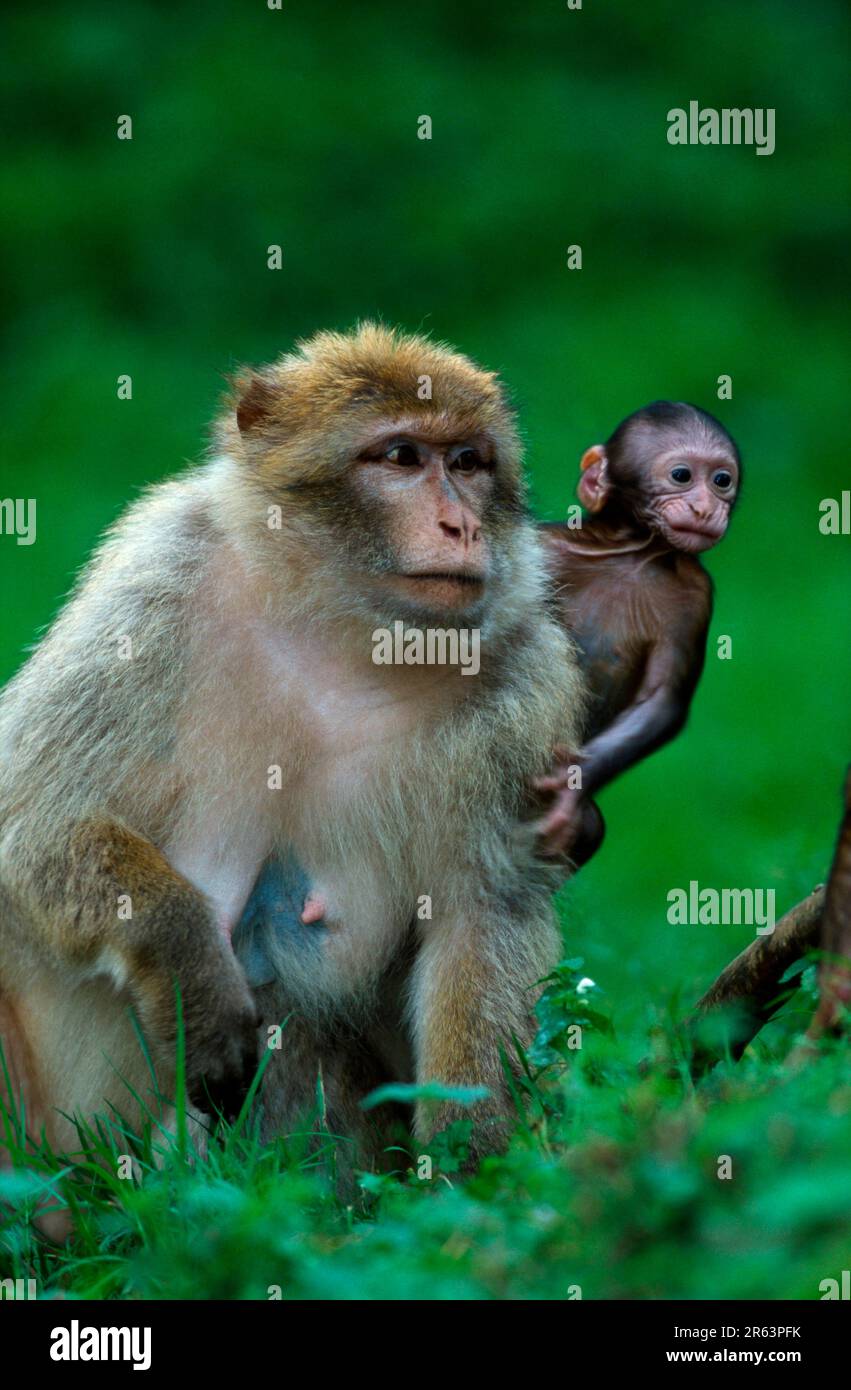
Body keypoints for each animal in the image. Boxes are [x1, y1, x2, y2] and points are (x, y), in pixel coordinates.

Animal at [0, 324, 584, 1173]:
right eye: (402, 457)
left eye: (469, 463)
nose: (463, 528)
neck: (340, 635)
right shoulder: (156, 588)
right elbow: (33, 826)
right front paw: (194, 974)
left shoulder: (523, 680)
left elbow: (481, 915)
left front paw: (469, 1163)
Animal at [533, 401, 741, 862]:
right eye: (681, 476)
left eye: (722, 480)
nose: (706, 508)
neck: (630, 554)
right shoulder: (543, 548)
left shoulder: (696, 595)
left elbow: (661, 700)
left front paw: (574, 779)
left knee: (588, 827)